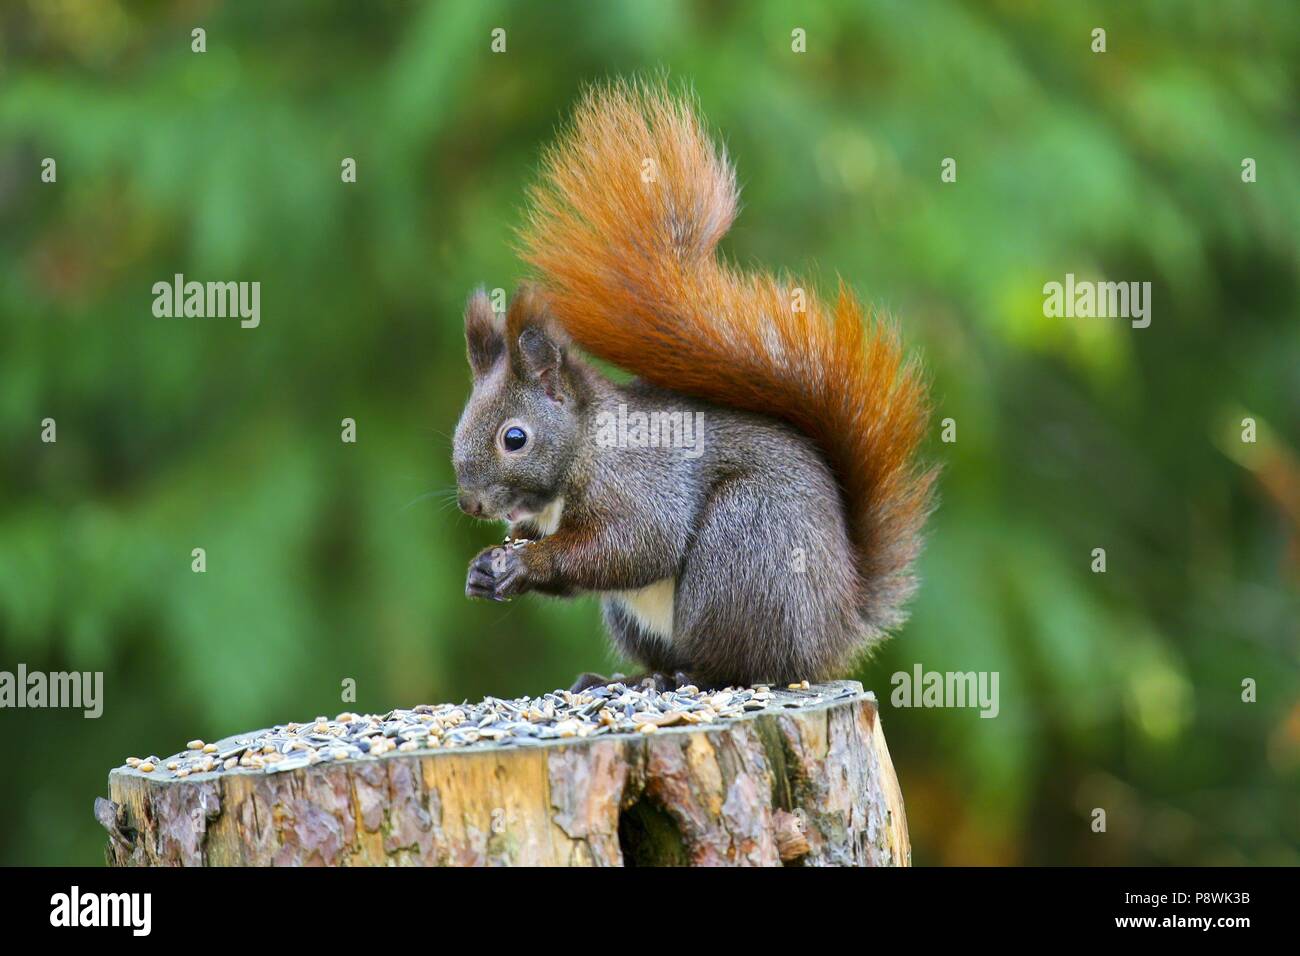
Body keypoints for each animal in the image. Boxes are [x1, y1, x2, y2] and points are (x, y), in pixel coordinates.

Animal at [453, 80, 935, 691]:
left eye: (514, 438)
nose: (469, 503)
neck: (584, 449)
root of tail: (836, 628)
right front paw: (482, 570)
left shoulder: (643, 481)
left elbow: (635, 544)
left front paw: (523, 563)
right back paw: (622, 679)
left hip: (744, 547)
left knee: (737, 666)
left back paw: (684, 677)